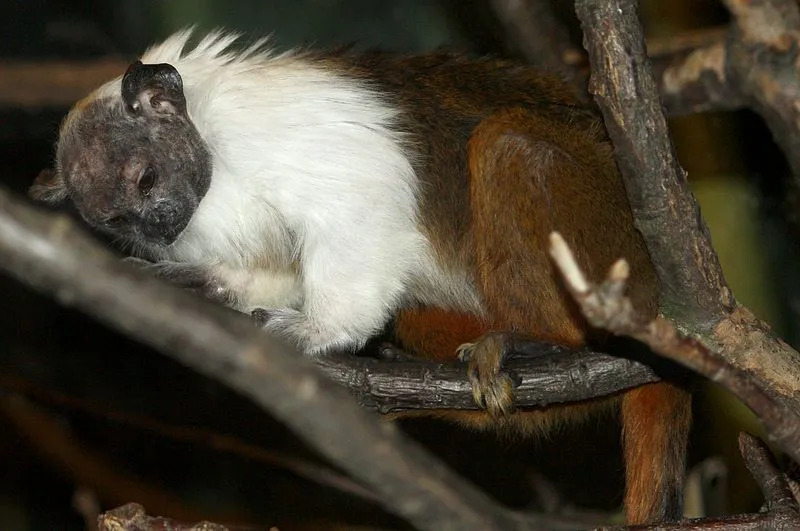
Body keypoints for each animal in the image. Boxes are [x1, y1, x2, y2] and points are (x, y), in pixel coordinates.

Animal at [31, 29, 692, 524]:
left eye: (145, 180)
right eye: (118, 219)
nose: (158, 225)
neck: (213, 151)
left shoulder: (273, 136)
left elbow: (361, 199)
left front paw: (320, 332)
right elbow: (273, 269)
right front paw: (209, 287)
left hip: (615, 239)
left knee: (508, 146)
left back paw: (542, 343)